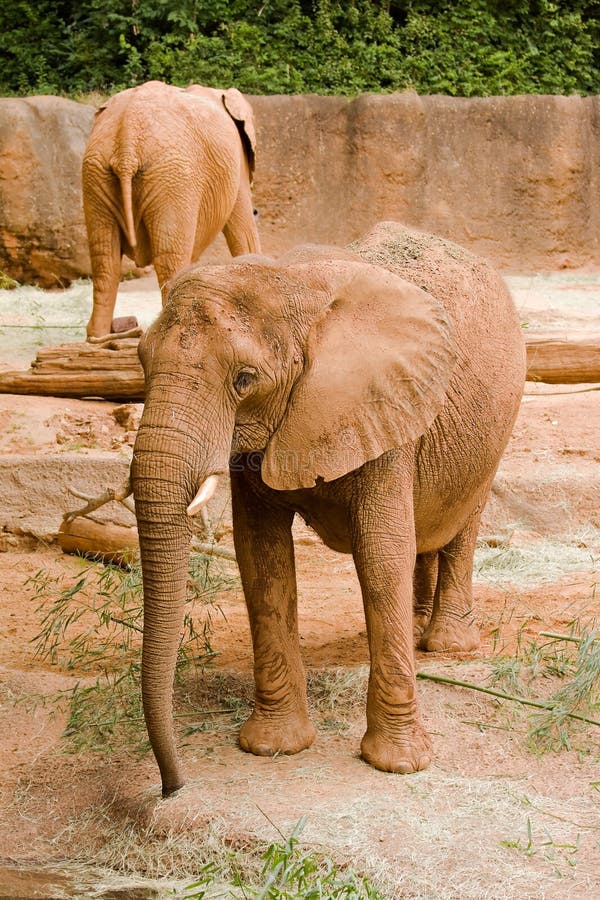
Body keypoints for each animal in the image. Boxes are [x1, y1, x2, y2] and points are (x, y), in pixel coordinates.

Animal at [82, 79, 260, 339]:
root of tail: (127, 135)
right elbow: (244, 231)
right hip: (172, 178)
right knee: (170, 259)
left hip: (97, 173)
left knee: (105, 260)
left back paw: (98, 337)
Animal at [131, 221, 526, 796]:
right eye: (141, 361)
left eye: (244, 380)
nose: (173, 786)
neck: (292, 282)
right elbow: (262, 556)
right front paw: (272, 748)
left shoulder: (384, 401)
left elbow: (381, 551)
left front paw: (398, 764)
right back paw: (416, 624)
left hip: (492, 431)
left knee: (460, 526)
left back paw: (446, 646)